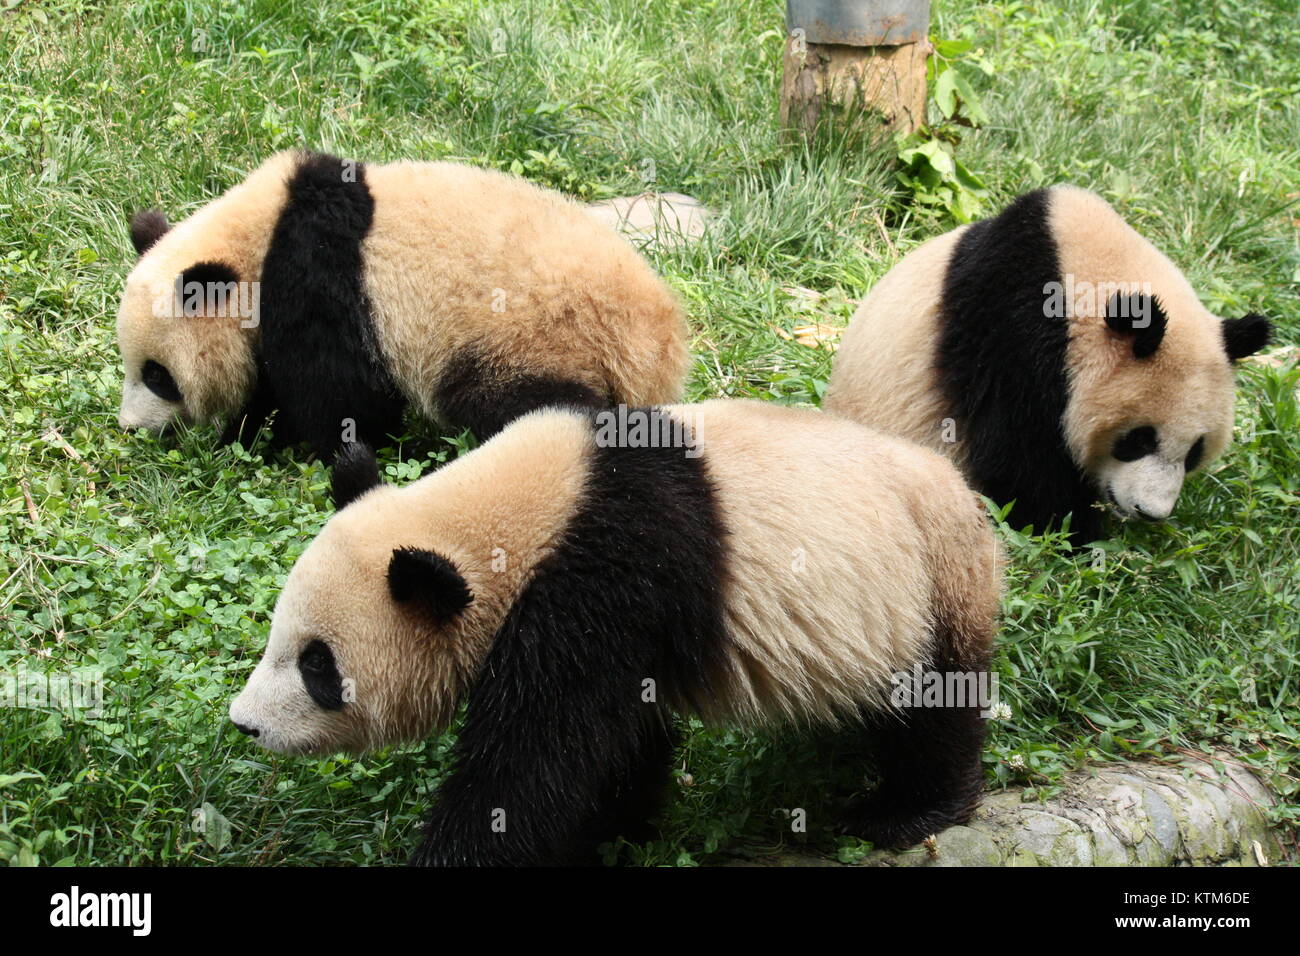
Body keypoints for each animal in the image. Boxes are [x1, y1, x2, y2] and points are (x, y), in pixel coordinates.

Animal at [116, 150, 688, 456]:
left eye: (157, 375)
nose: (130, 427)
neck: (259, 233)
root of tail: (657, 341)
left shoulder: (322, 277)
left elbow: (340, 396)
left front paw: (280, 445)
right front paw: (245, 433)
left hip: (531, 339)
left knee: (520, 402)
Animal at [228, 399, 1002, 865]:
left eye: (318, 667)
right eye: (276, 637)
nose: (244, 725)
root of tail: (966, 498)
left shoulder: (605, 583)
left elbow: (535, 765)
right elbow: (616, 745)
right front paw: (612, 834)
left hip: (920, 586)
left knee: (934, 705)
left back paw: (908, 811)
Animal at [823, 186, 1273, 542]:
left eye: (1195, 451)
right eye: (1139, 439)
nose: (1149, 512)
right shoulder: (1012, 328)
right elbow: (1018, 454)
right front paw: (1069, 532)